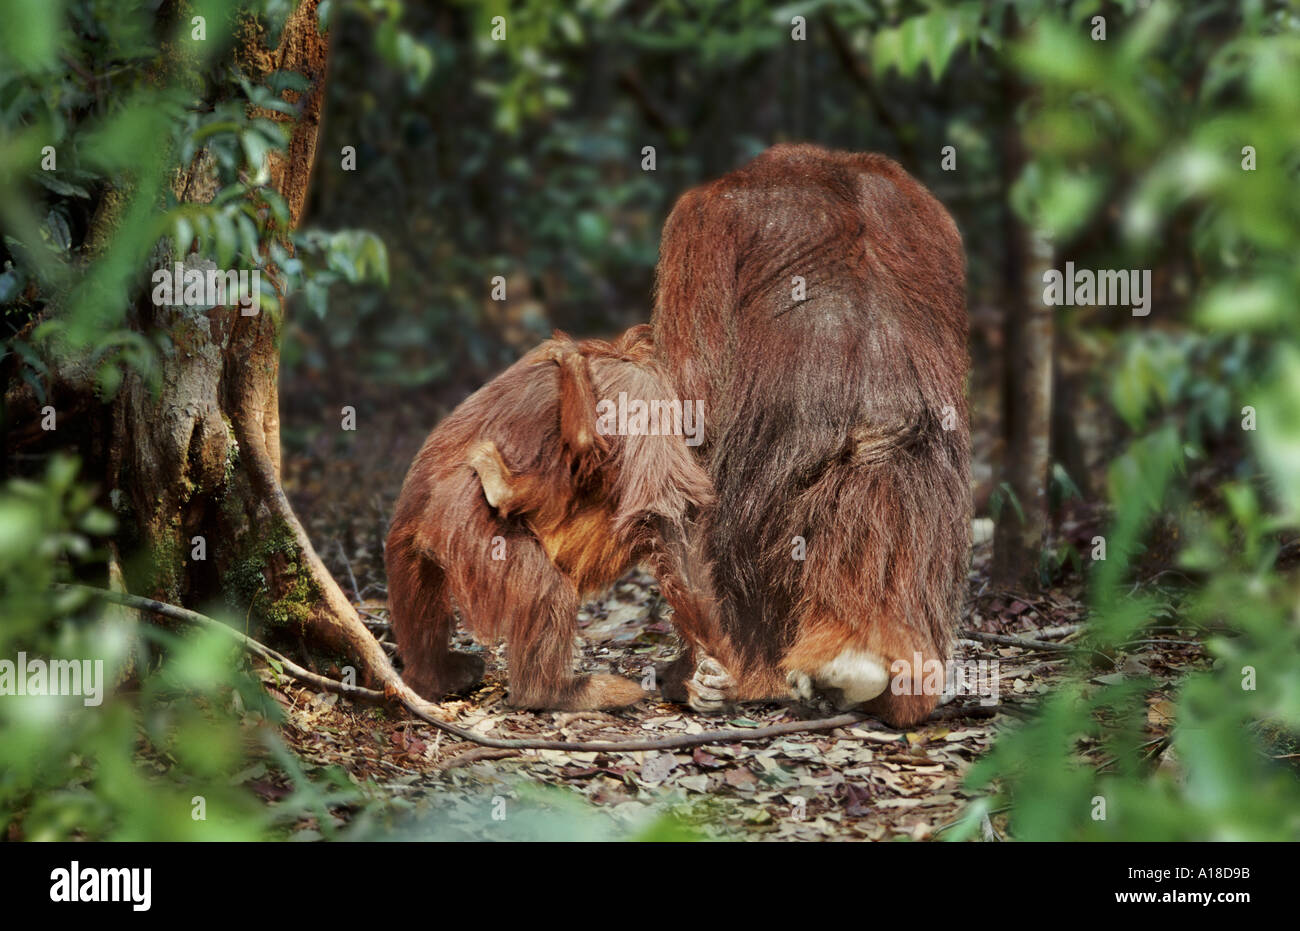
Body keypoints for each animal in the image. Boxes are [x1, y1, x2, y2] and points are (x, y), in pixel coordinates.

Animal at [385, 325, 730, 711]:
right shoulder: (641, 387)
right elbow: (661, 512)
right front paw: (707, 667)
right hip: (466, 530)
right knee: (548, 587)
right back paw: (549, 692)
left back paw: (434, 675)